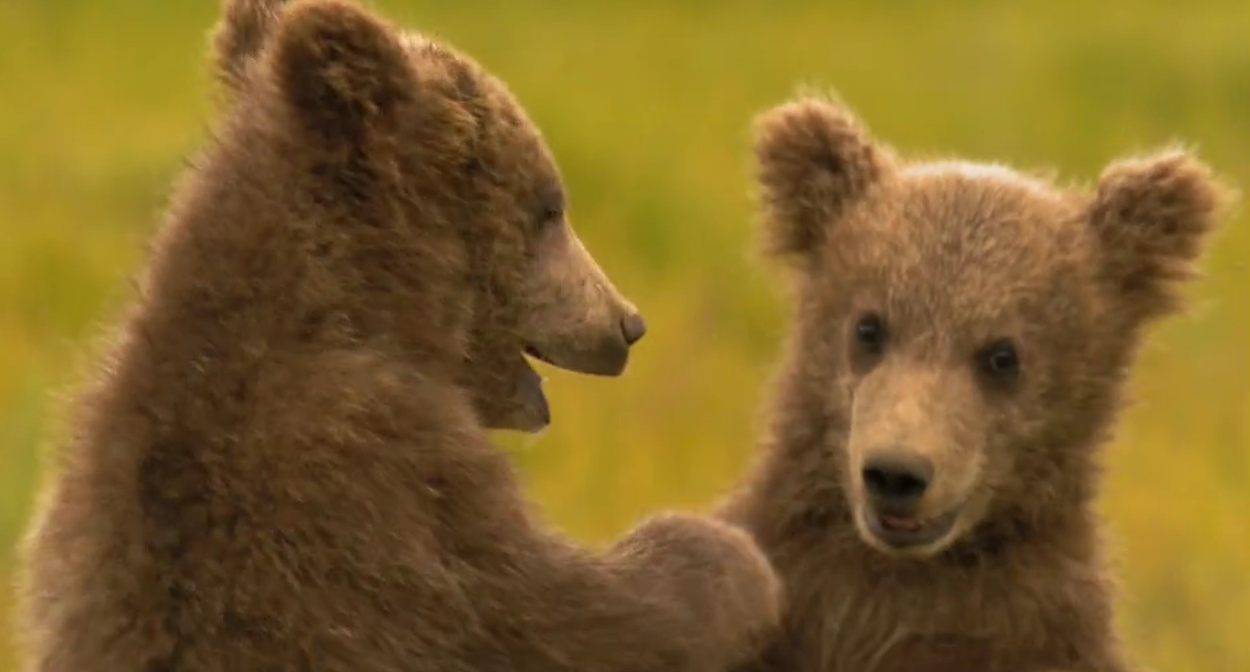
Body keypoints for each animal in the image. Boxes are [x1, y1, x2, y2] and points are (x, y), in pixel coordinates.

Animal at [13, 1, 782, 671]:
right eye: (549, 206)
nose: (627, 323)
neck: (363, 304)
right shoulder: (384, 480)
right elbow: (562, 614)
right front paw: (725, 557)